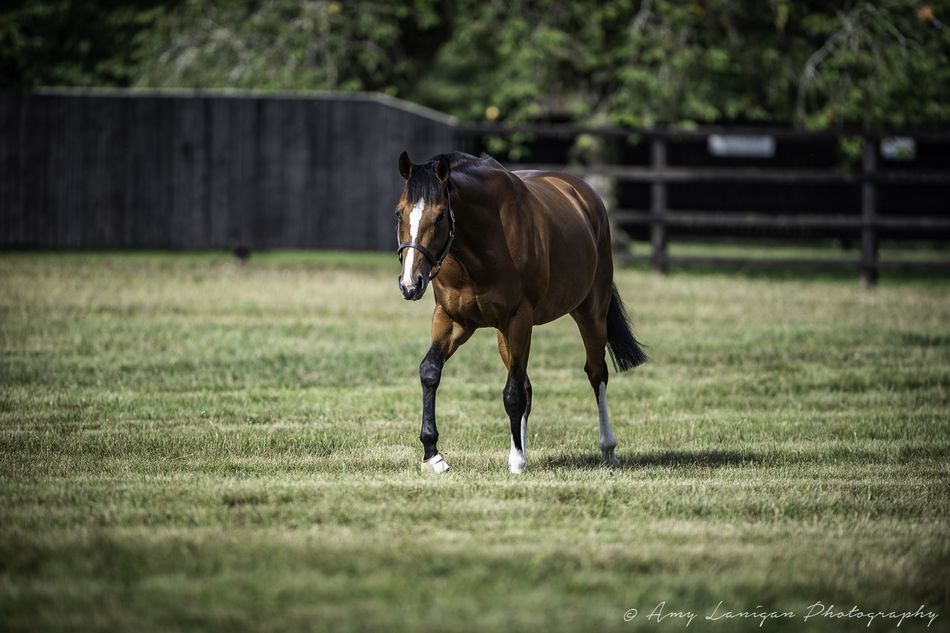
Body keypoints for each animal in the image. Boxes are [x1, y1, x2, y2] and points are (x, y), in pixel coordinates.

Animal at [394, 151, 646, 474]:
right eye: (399, 213)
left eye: (439, 216)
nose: (410, 284)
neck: (482, 245)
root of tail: (584, 194)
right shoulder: (452, 320)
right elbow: (430, 371)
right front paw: (432, 455)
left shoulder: (518, 319)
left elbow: (512, 392)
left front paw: (515, 462)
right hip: (505, 333)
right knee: (528, 384)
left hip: (590, 312)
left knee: (596, 372)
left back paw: (607, 448)